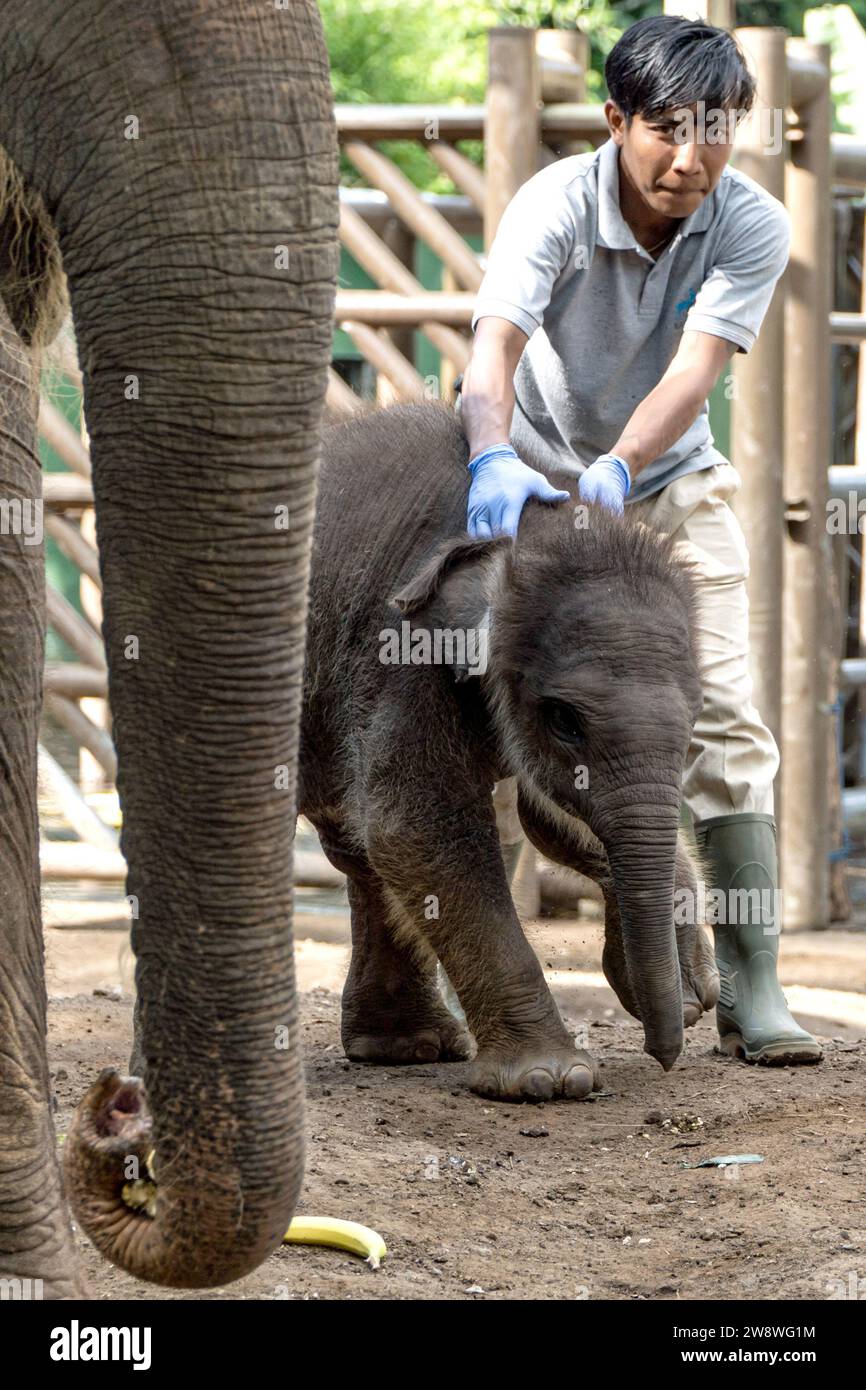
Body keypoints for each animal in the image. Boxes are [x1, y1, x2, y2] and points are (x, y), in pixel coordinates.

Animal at [300, 402, 720, 1100]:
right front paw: (550, 1080)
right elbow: (418, 825)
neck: (533, 528)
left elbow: (545, 815)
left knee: (355, 847)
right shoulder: (399, 649)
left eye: (694, 722)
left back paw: (406, 1048)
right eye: (565, 721)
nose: (667, 1056)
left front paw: (686, 982)